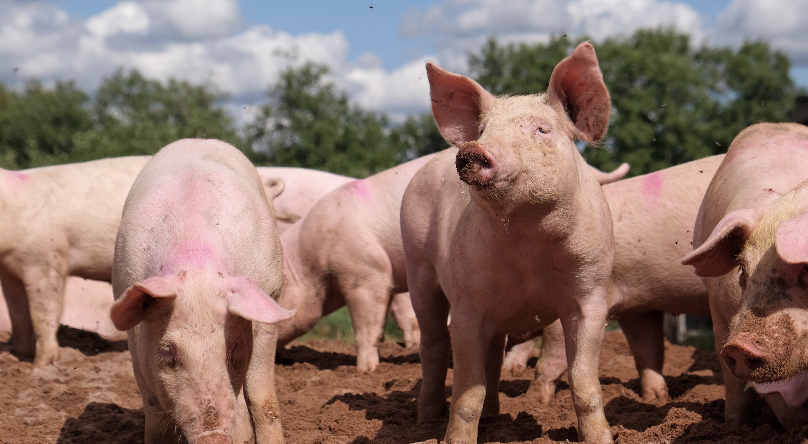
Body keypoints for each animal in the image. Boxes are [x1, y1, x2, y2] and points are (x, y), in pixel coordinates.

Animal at [0, 156, 151, 367]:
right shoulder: (9, 271)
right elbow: (18, 317)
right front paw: (21, 358)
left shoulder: (47, 259)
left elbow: (42, 316)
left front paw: (39, 366)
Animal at [110, 138, 294, 444]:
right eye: (168, 352)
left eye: (233, 350)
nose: (214, 437)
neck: (196, 264)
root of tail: (198, 139)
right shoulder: (133, 330)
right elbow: (154, 412)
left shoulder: (269, 296)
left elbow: (261, 398)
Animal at [400, 42, 615, 443]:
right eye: (484, 130)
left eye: (542, 129)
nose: (472, 150)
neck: (529, 241)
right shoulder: (467, 304)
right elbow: (467, 389)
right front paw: (456, 440)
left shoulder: (592, 294)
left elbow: (583, 380)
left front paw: (602, 439)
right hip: (418, 268)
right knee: (433, 346)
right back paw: (425, 420)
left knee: (493, 358)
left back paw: (495, 417)